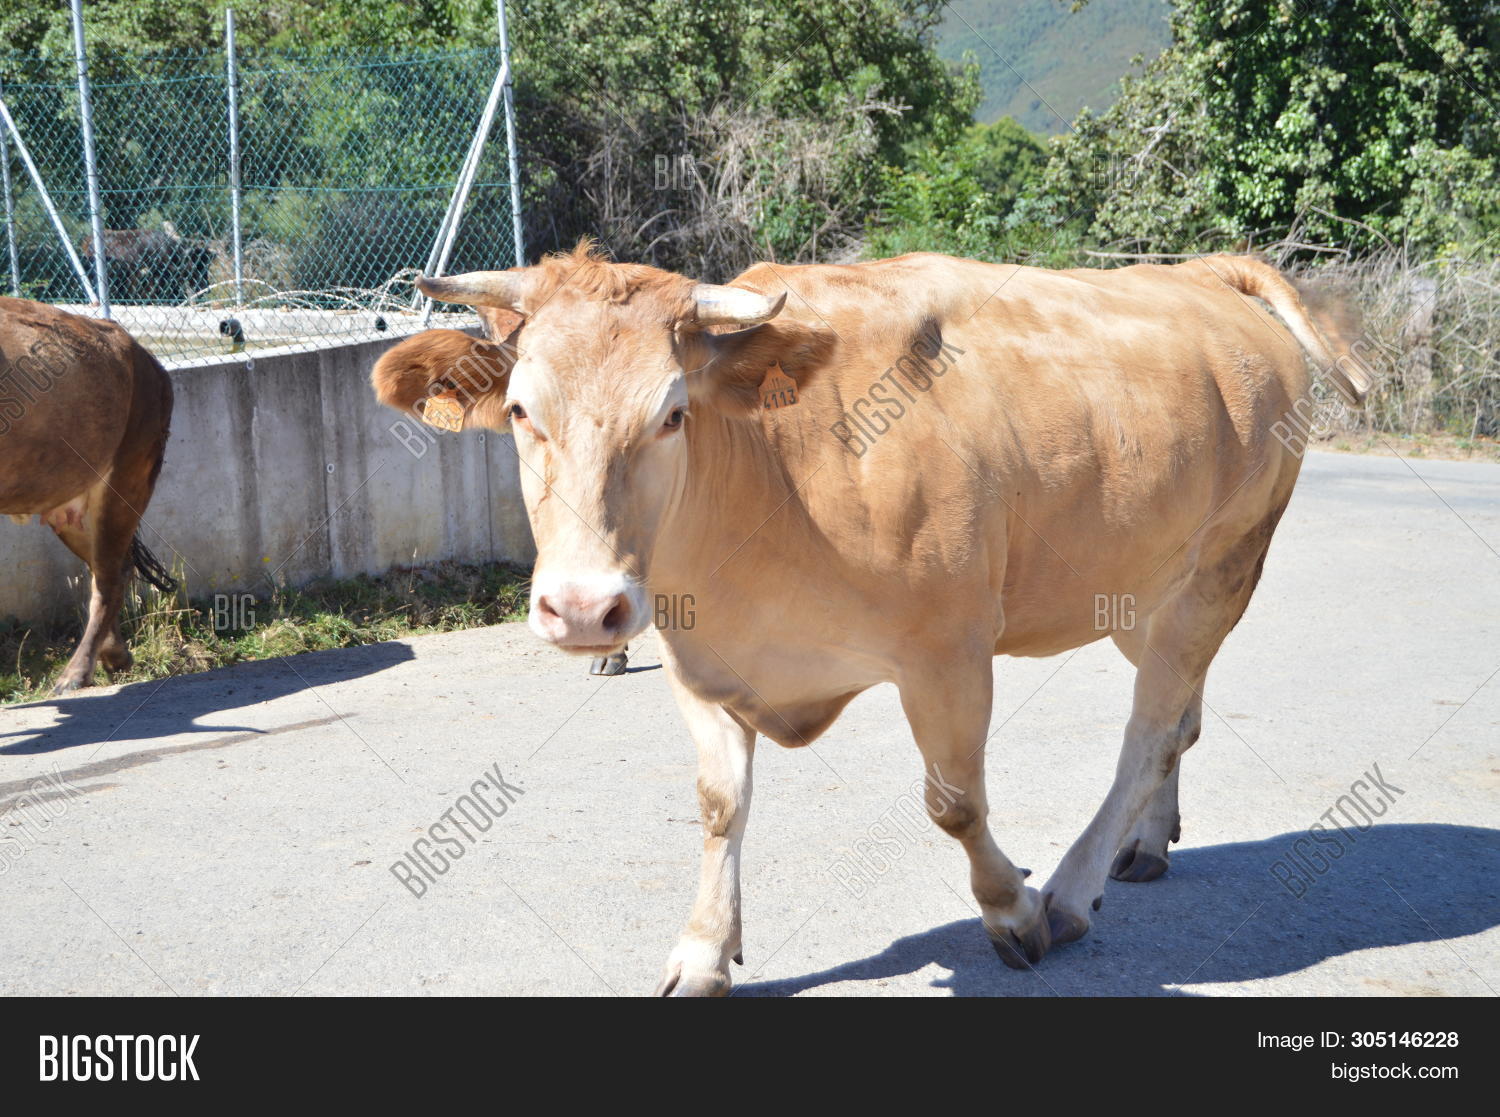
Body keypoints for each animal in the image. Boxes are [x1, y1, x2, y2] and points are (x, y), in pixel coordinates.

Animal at [0, 297, 176, 693]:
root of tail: (146, 358)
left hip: (125, 481)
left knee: (110, 575)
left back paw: (75, 674)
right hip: (72, 510)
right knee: (104, 568)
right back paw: (114, 657)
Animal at [371, 242, 1369, 995]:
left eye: (673, 414)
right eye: (519, 409)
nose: (584, 607)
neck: (770, 477)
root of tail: (1200, 271)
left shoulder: (949, 652)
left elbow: (954, 800)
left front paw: (1012, 909)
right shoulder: (701, 661)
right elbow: (718, 803)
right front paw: (704, 950)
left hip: (1223, 567)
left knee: (1151, 729)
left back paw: (1071, 891)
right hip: (1146, 584)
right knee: (1180, 715)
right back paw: (1145, 843)